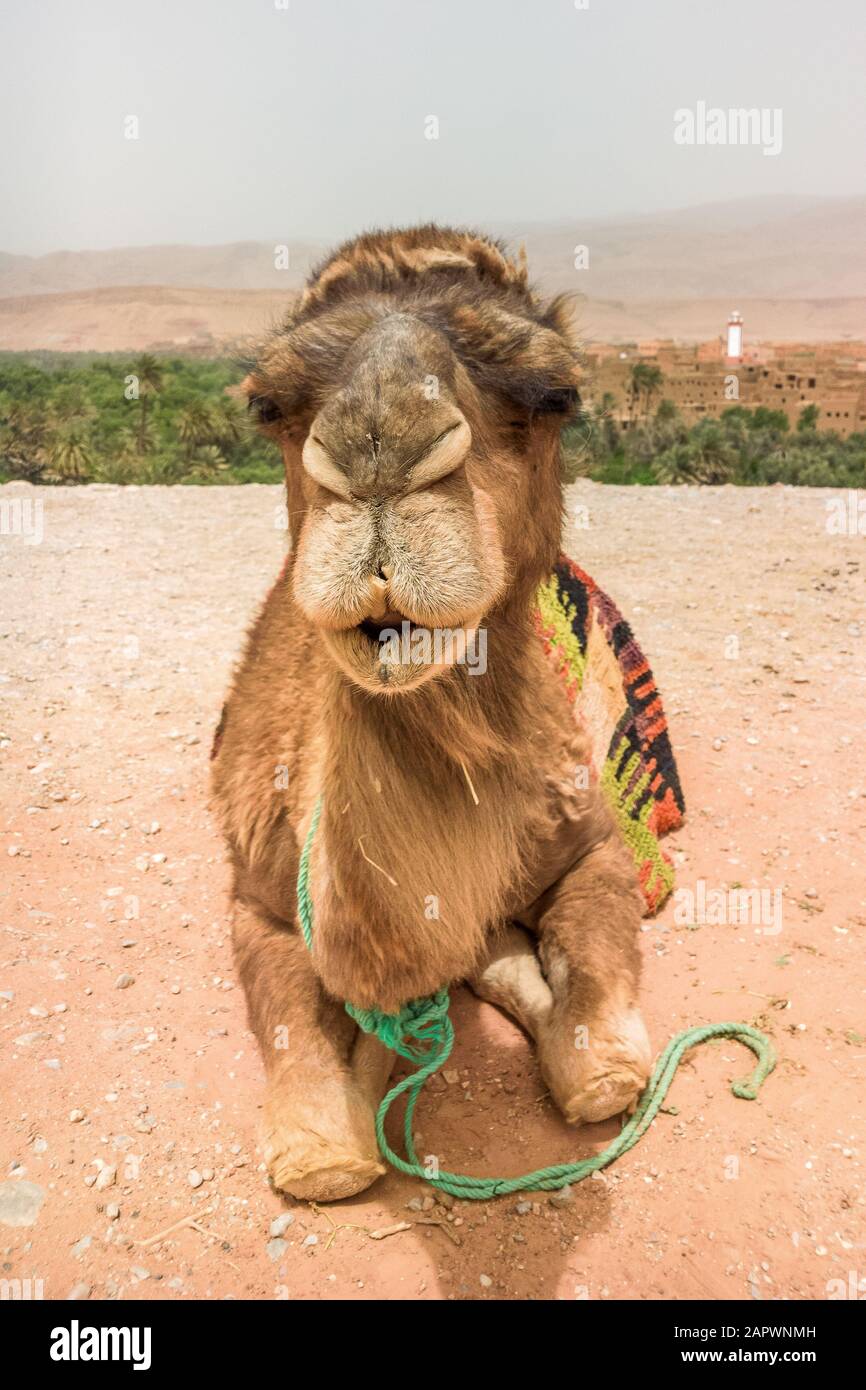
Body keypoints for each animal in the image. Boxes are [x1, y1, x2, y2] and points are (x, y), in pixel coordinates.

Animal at [211, 226, 674, 1201]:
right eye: (267, 403)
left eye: (557, 394)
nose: (379, 443)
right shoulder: (258, 896)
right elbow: (309, 1091)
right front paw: (332, 1125)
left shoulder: (594, 843)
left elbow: (601, 1046)